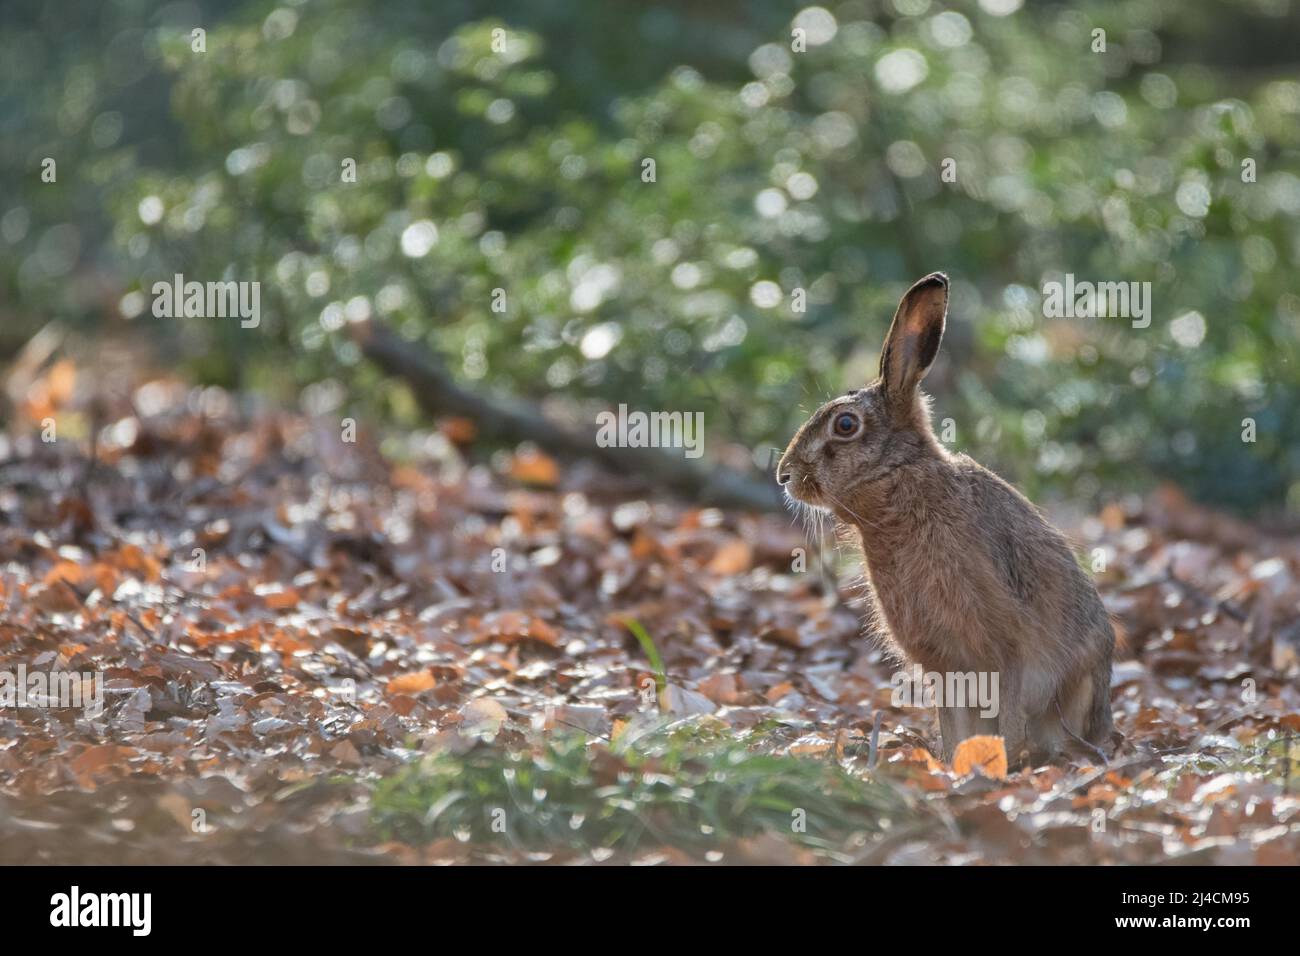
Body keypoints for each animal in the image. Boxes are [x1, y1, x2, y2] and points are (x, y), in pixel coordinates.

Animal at [777, 272, 1114, 765]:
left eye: (845, 425)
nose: (784, 475)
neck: (899, 484)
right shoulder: (944, 664)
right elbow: (955, 727)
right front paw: (957, 763)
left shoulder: (1004, 653)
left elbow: (1007, 721)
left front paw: (994, 765)